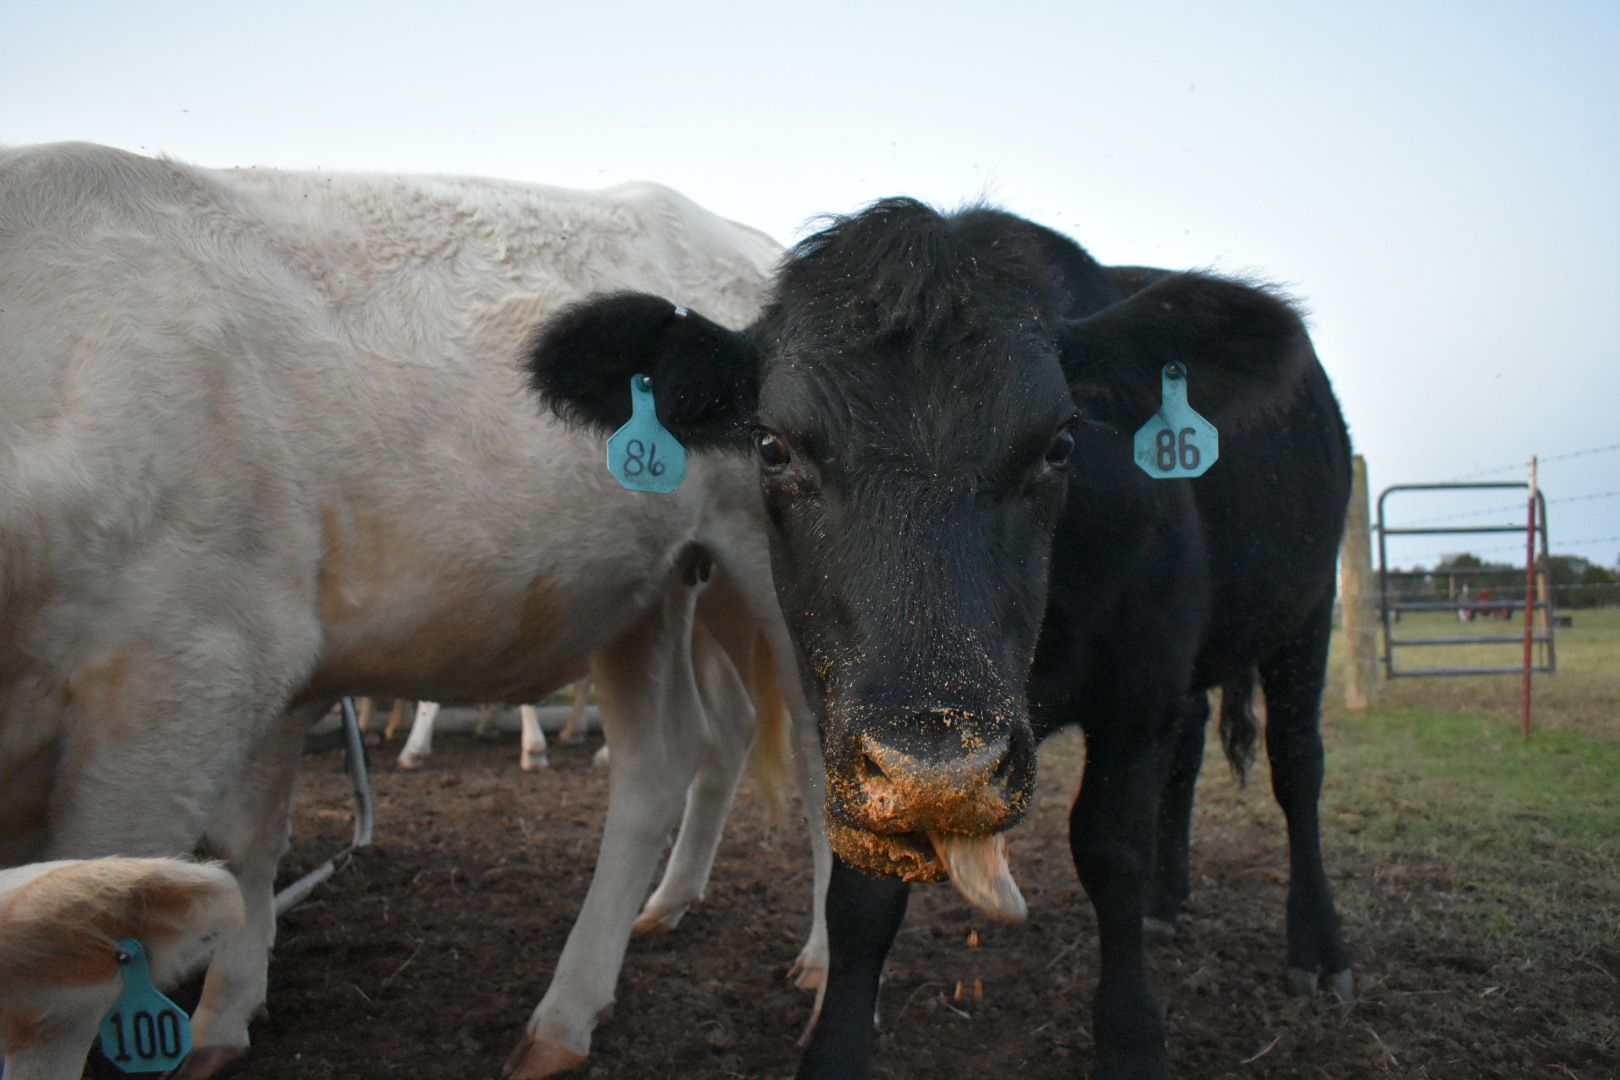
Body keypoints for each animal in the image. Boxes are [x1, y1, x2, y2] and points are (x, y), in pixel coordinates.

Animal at [0, 142, 831, 1079]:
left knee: (816, 759)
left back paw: (819, 965)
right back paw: (582, 998)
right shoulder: (269, 674)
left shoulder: (189, 674)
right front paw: (222, 1020)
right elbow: (249, 847)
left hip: (777, 584)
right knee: (664, 761)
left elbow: (64, 981)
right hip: (645, 597)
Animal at [530, 196, 1354, 1079]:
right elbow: (861, 889)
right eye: (772, 446)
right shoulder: (849, 719)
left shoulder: (1138, 685)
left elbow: (1110, 852)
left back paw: (1318, 948)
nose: (943, 766)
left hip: (1308, 611)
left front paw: (1133, 1038)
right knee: (1193, 749)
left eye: (1061, 443)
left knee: (1298, 766)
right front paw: (835, 1046)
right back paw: (1170, 904)